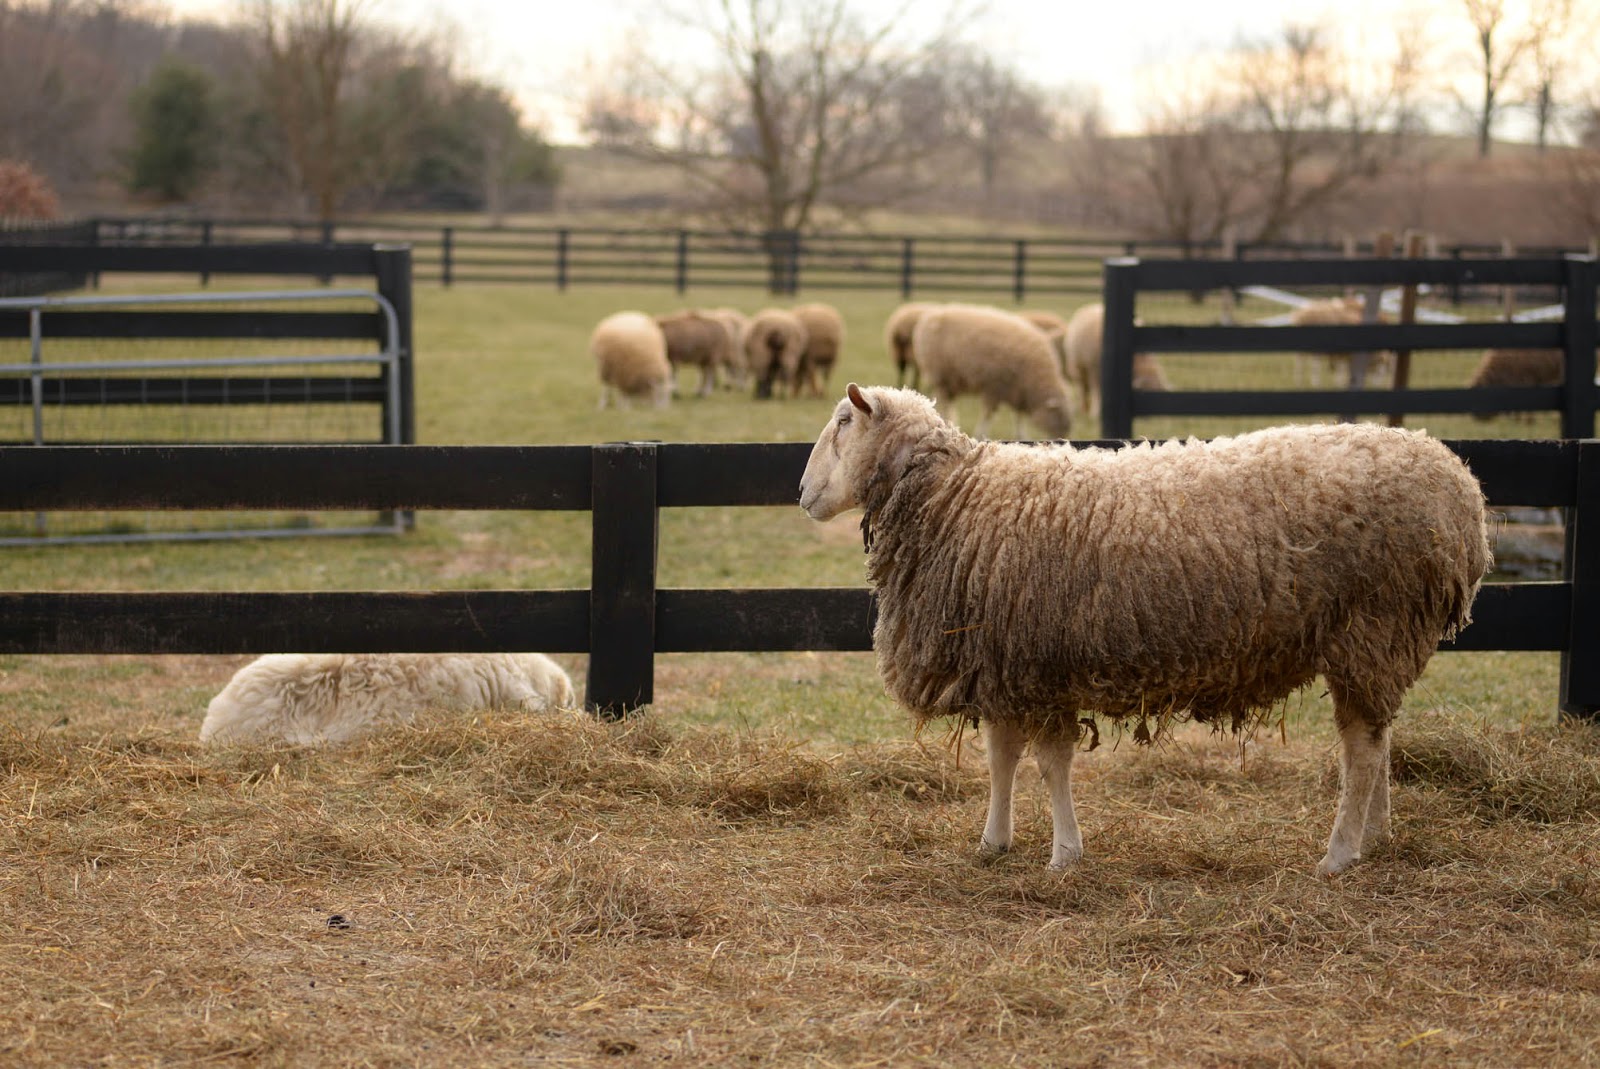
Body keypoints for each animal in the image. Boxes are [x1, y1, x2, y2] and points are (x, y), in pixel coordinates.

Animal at [798, 384, 1490, 877]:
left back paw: (1340, 853)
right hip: (1380, 641)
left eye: (843, 423)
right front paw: (994, 841)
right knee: (1376, 740)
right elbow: (1003, 756)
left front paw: (1064, 854)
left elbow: (1050, 763)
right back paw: (1375, 836)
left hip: (1372, 624)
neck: (954, 494)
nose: (802, 493)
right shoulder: (1002, 659)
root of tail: (1462, 488)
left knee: (1361, 748)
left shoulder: (1040, 664)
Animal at [911, 303, 1071, 439]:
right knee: (945, 402)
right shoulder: (994, 388)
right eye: (1057, 419)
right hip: (942, 376)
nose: (1061, 439)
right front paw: (980, 434)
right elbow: (988, 415)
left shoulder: (1017, 391)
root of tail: (930, 316)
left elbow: (1018, 417)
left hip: (950, 380)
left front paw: (1022, 436)